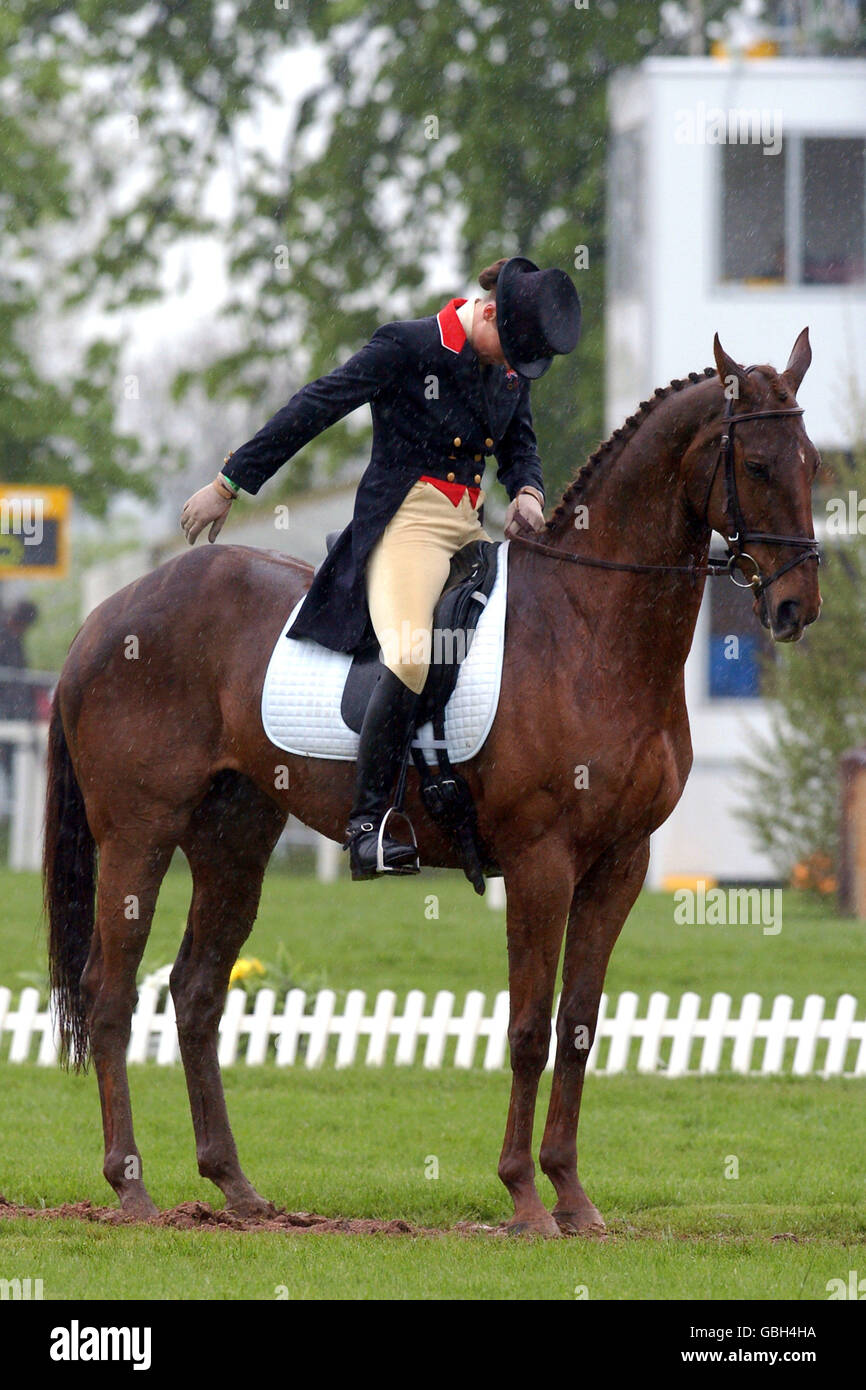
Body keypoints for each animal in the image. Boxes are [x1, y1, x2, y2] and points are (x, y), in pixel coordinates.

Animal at [43, 331, 821, 1236]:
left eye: (811, 462)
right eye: (757, 464)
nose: (797, 607)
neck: (589, 626)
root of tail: (109, 616)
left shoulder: (619, 865)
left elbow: (579, 1025)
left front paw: (574, 1197)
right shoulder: (542, 862)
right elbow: (529, 1028)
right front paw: (525, 1197)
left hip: (233, 840)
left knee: (196, 993)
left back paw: (235, 1187)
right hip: (139, 836)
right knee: (110, 994)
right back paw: (130, 1188)